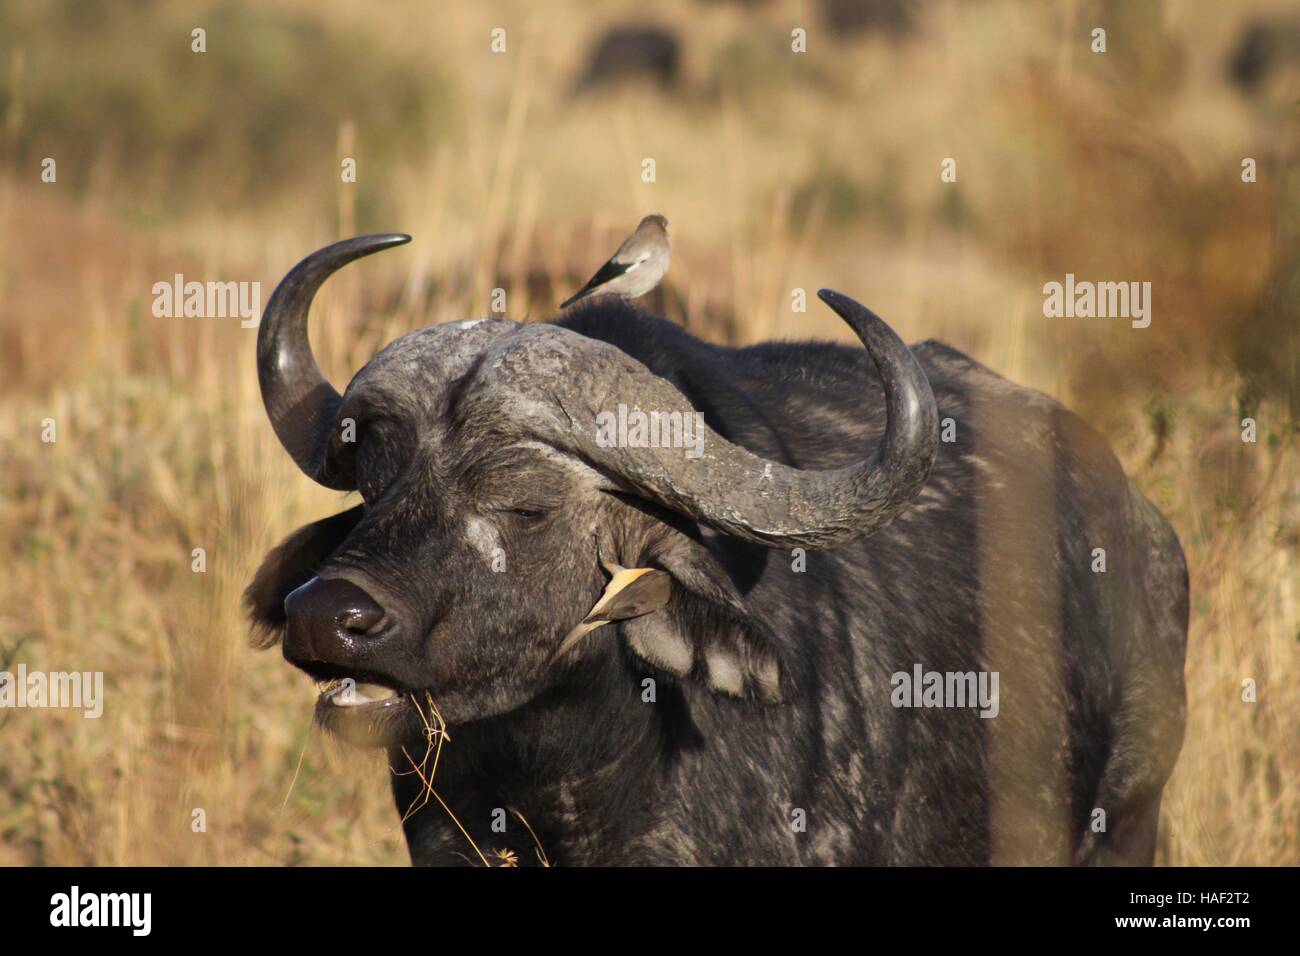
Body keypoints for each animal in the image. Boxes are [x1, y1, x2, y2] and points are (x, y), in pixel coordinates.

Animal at [246, 234, 1187, 866]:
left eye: (523, 506)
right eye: (374, 484)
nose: (325, 616)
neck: (573, 774)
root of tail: (1146, 537)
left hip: (1125, 821)